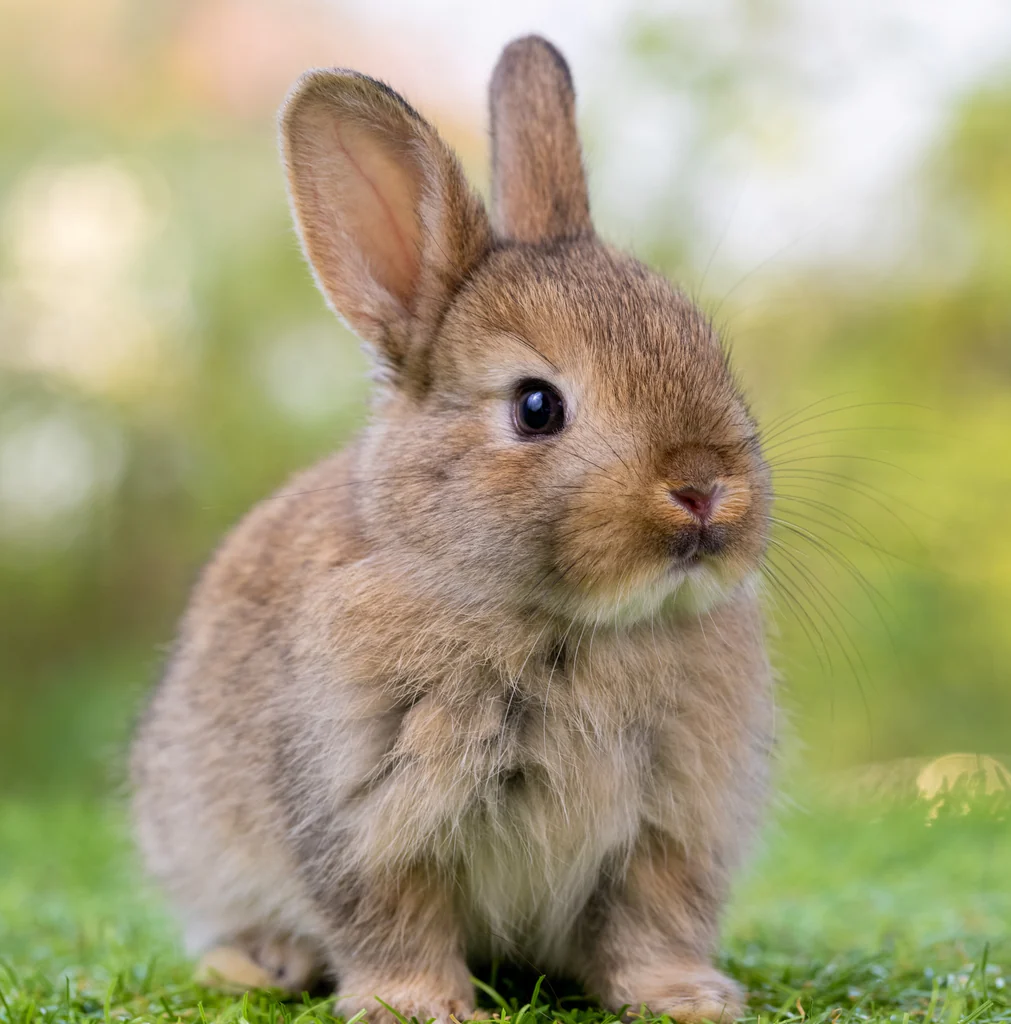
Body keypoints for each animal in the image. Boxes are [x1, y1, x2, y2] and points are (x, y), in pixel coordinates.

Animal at [131, 34, 775, 1024]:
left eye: (711, 354)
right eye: (537, 406)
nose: (704, 488)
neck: (559, 621)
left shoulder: (668, 829)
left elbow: (653, 920)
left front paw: (685, 999)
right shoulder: (364, 812)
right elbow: (393, 917)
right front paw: (414, 1006)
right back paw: (261, 963)